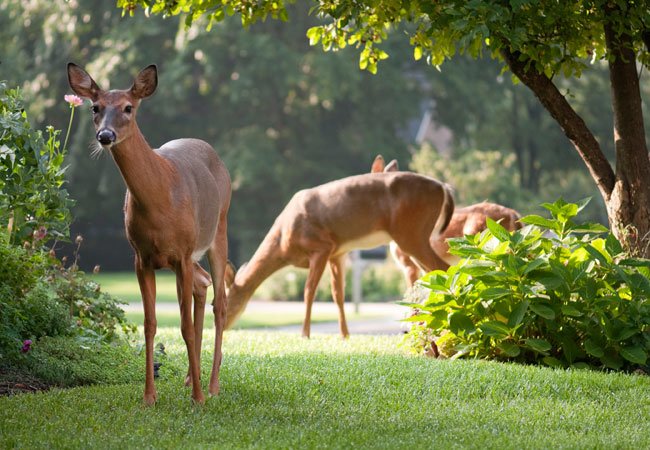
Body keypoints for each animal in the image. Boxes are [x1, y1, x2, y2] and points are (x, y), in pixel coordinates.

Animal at [67, 63, 231, 405]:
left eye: (129, 107)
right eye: (95, 107)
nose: (105, 136)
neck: (160, 200)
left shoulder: (182, 253)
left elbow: (184, 326)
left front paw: (198, 398)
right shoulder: (141, 257)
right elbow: (149, 325)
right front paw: (149, 397)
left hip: (217, 229)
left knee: (220, 302)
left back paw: (211, 386)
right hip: (186, 255)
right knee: (202, 284)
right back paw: (190, 377)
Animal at [224, 169, 455, 338]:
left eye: (225, 302)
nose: (222, 326)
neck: (283, 243)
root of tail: (443, 187)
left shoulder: (321, 247)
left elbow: (309, 291)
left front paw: (305, 334)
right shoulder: (338, 253)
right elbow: (338, 294)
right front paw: (345, 335)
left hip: (410, 232)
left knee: (444, 268)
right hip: (414, 235)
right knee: (432, 274)